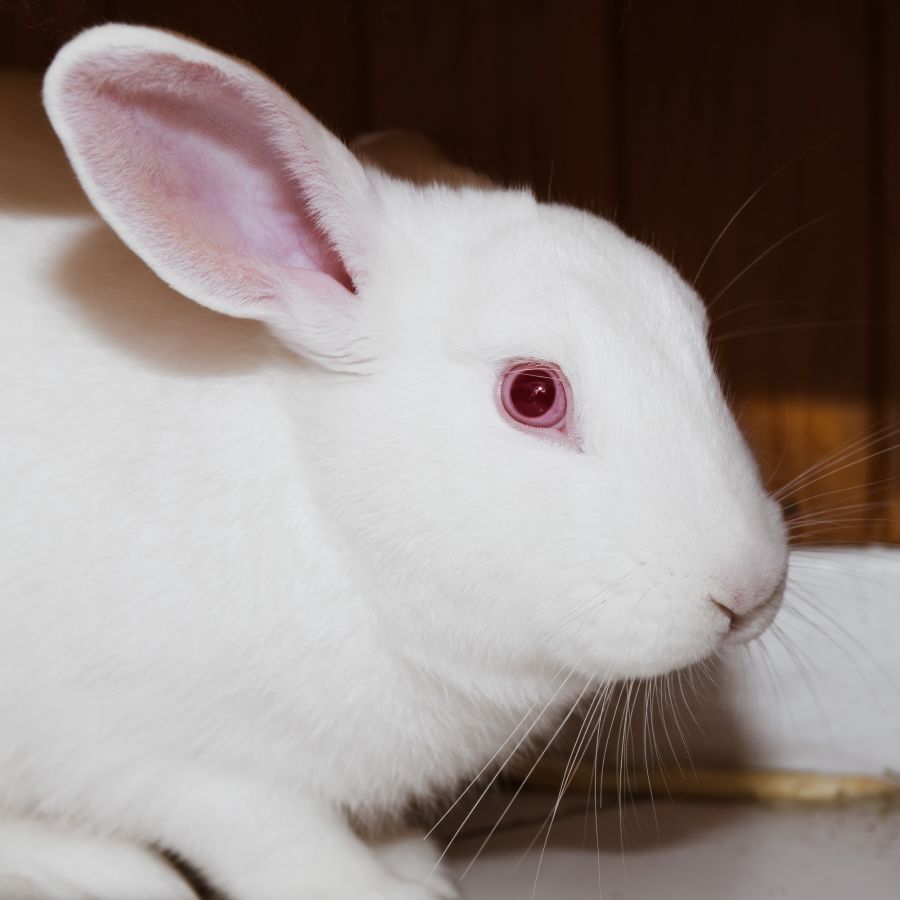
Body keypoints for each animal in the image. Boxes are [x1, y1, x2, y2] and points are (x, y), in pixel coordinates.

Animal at [0, 23, 789, 900]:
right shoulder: (193, 769)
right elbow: (293, 850)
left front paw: (418, 867)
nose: (750, 590)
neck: (326, 514)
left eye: (696, 333)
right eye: (533, 394)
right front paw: (387, 890)